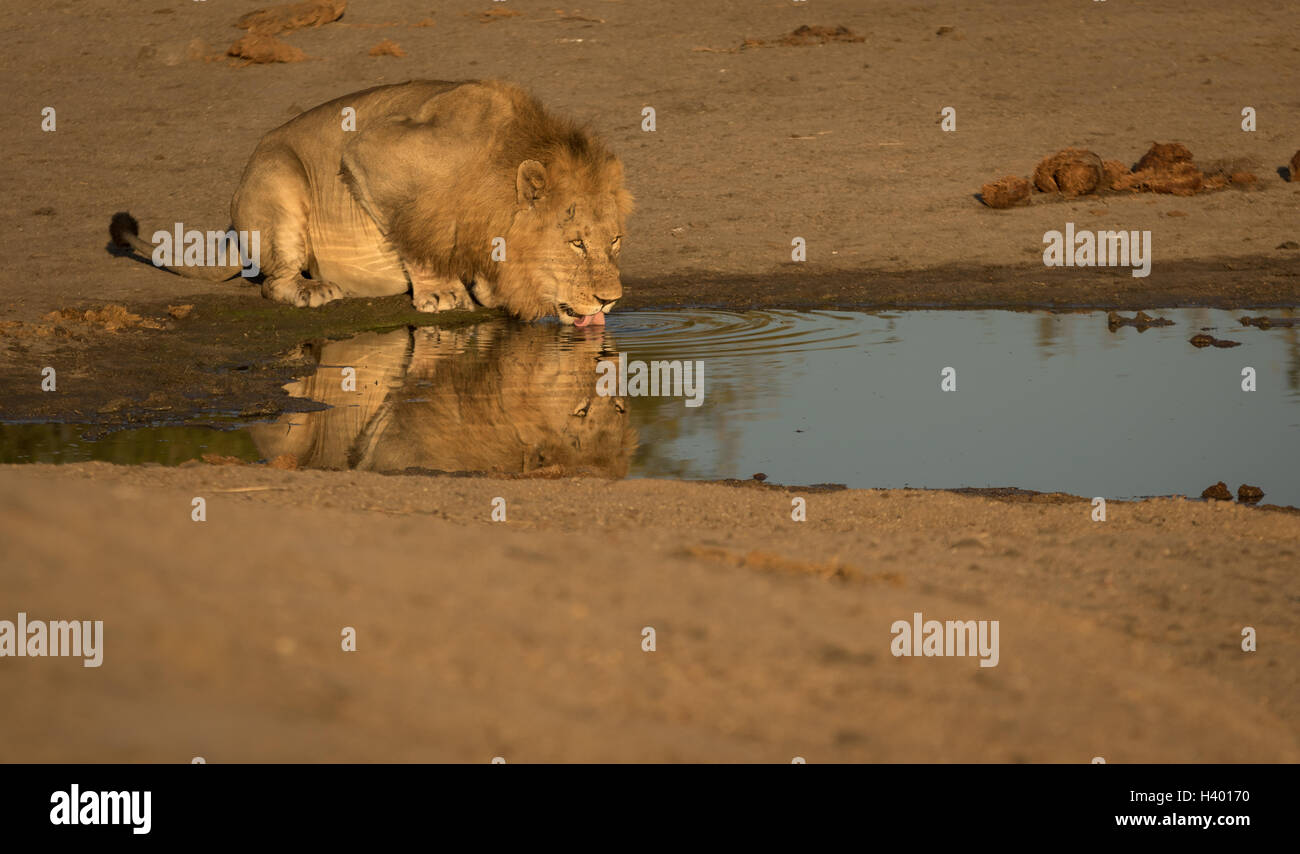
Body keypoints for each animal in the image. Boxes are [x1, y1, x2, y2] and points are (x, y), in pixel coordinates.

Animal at [110, 80, 633, 326]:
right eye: (576, 244)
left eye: (615, 241)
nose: (610, 301)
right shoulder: (372, 153)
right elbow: (415, 231)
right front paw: (443, 293)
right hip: (278, 177)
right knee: (273, 282)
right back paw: (311, 289)